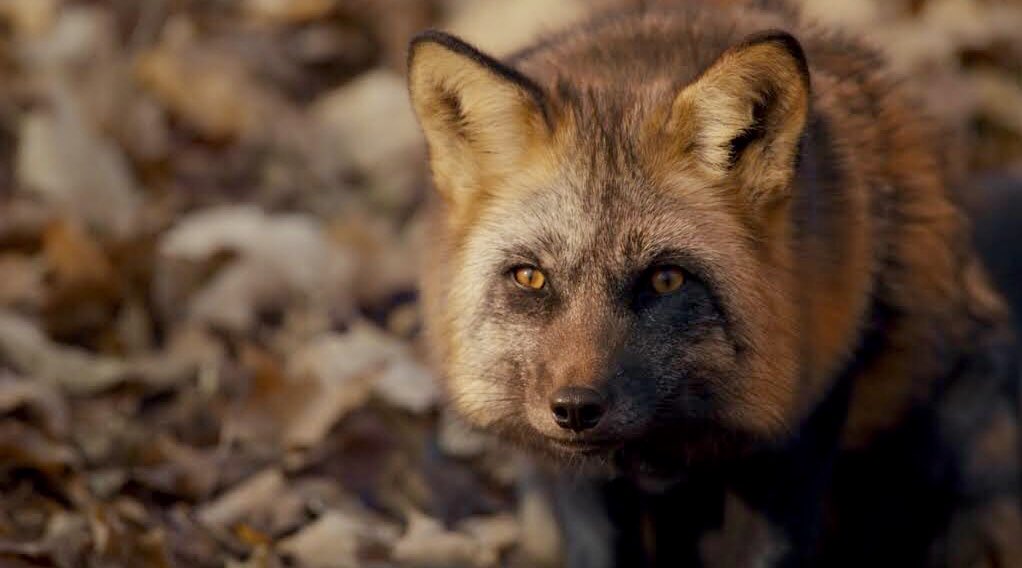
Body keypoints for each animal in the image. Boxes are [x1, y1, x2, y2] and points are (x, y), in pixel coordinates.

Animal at [406, 0, 1022, 565]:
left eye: (665, 279)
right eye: (531, 277)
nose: (576, 409)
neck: (664, 454)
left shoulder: (798, 434)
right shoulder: (579, 483)